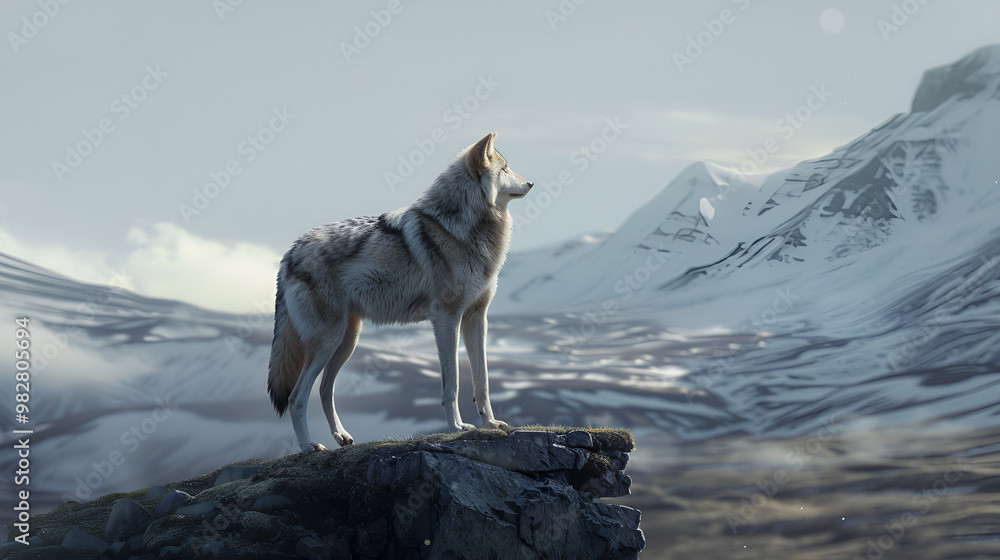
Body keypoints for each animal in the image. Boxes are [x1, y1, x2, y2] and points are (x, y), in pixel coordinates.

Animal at [267, 133, 533, 452]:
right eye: (505, 169)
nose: (531, 183)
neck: (461, 226)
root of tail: (289, 254)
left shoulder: (477, 317)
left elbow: (483, 381)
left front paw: (491, 424)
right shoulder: (446, 318)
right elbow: (453, 382)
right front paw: (457, 427)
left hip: (345, 342)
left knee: (323, 390)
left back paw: (341, 437)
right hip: (328, 341)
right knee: (297, 396)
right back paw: (309, 447)